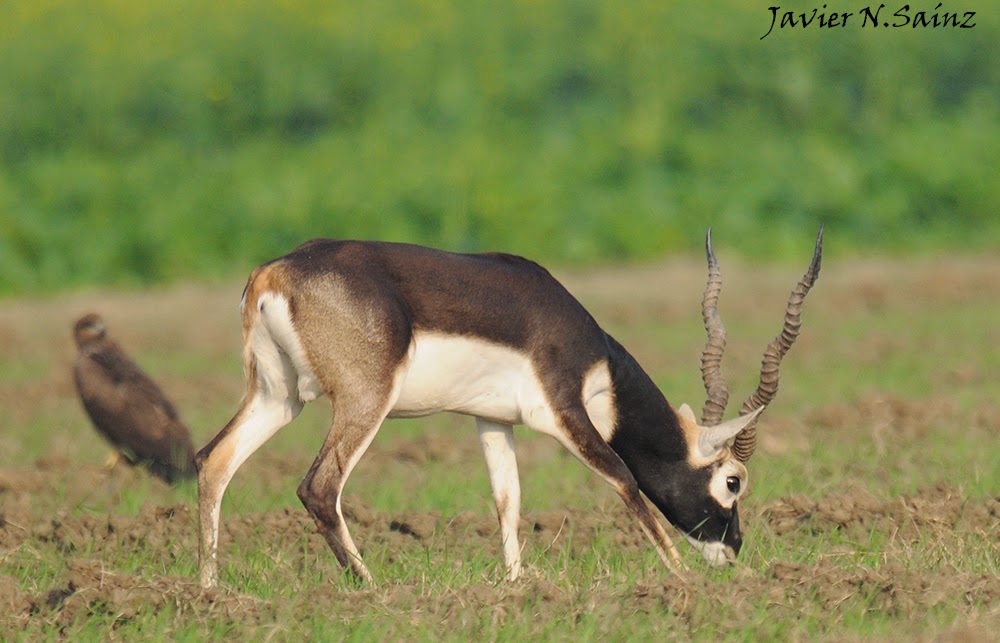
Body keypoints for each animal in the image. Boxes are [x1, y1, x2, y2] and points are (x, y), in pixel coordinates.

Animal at [195, 228, 822, 588]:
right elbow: (624, 479)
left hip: (279, 397)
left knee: (213, 461)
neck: (586, 348)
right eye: (734, 481)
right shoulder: (565, 412)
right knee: (319, 487)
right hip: (364, 400)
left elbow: (508, 498)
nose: (732, 550)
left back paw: (208, 592)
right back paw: (371, 588)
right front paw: (684, 580)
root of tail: (274, 270)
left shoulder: (492, 419)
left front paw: (518, 585)